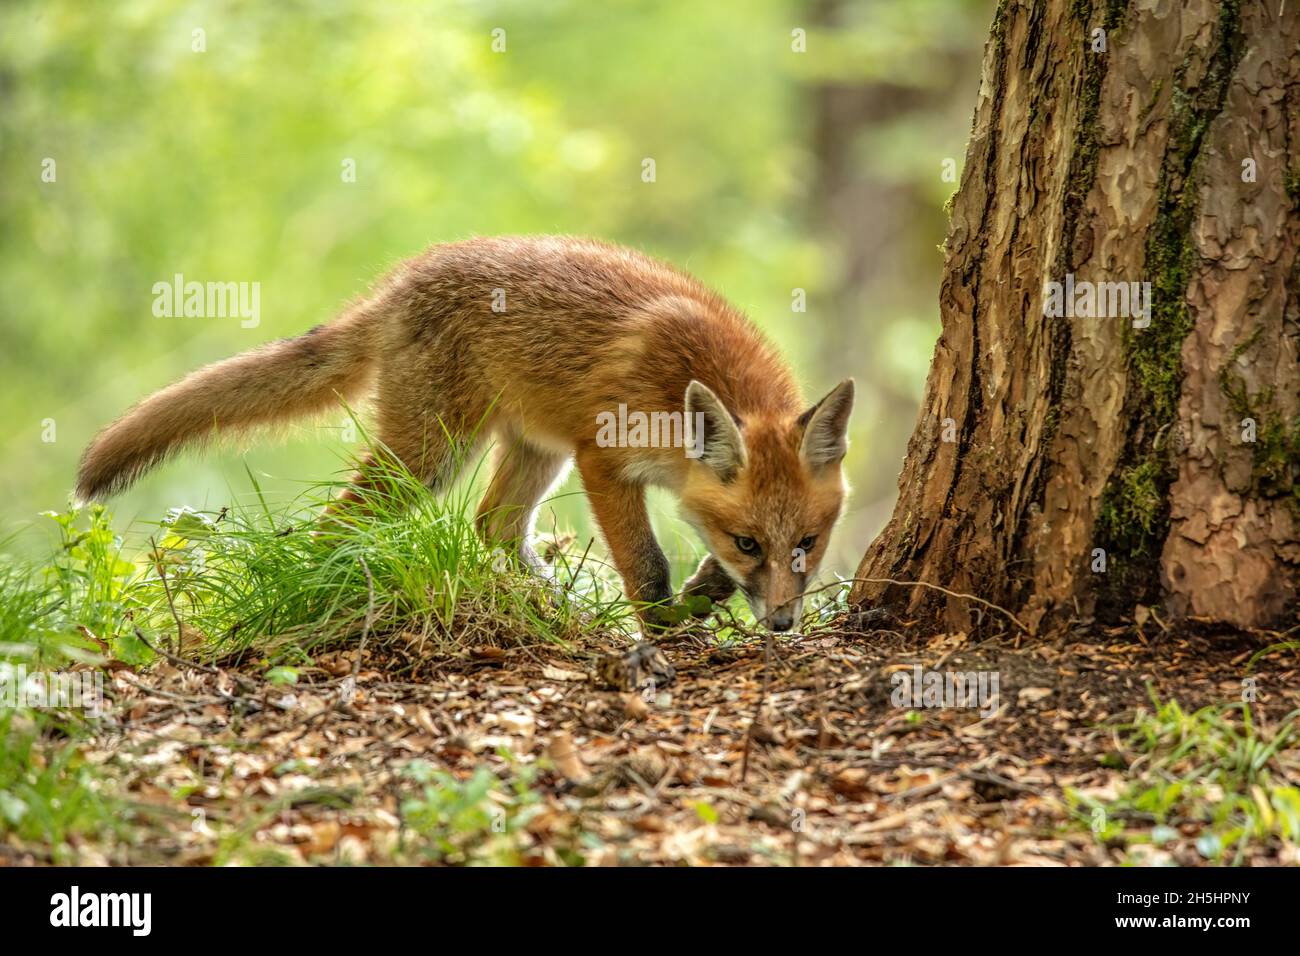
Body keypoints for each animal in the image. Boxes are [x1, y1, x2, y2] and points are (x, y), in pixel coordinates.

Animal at [77, 236, 854, 634]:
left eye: (808, 542)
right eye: (749, 541)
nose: (783, 626)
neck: (680, 383)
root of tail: (399, 281)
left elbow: (694, 564)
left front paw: (701, 601)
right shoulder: (603, 460)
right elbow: (647, 564)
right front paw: (665, 634)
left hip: (533, 452)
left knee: (493, 527)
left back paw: (561, 609)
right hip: (432, 458)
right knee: (342, 523)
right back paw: (329, 595)